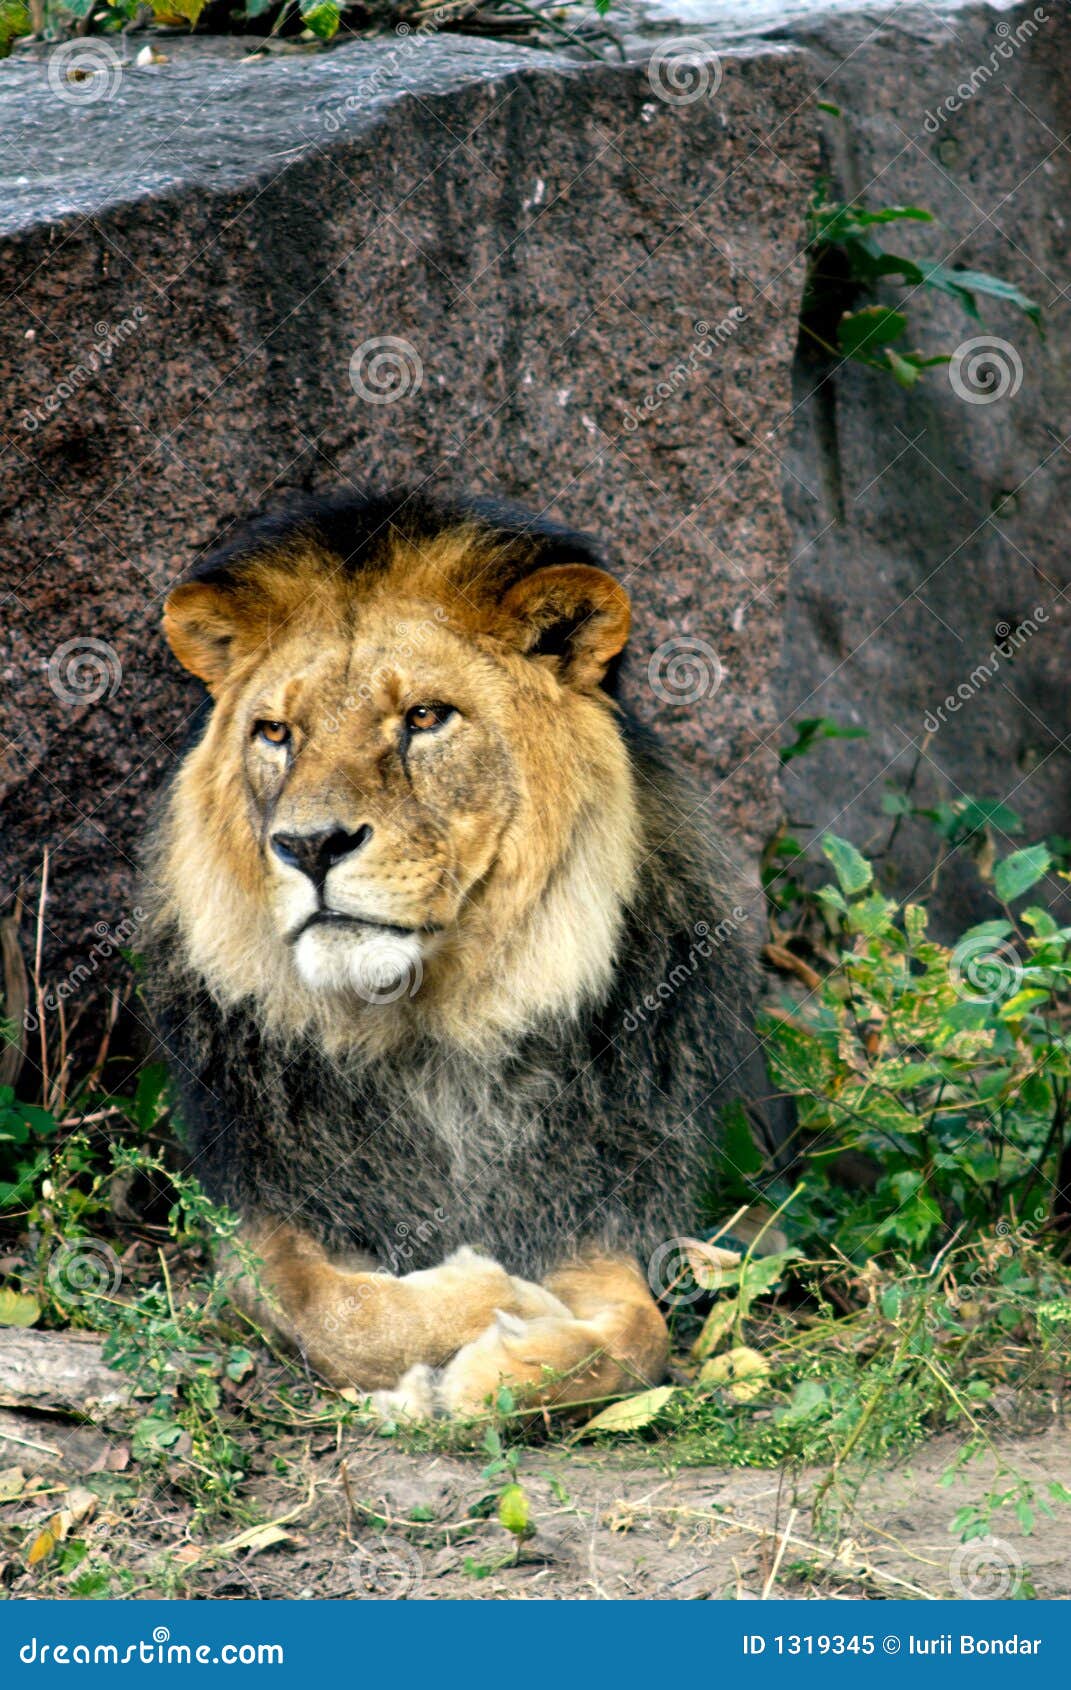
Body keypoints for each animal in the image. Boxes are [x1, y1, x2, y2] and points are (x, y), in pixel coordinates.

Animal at [142, 487, 776, 1420]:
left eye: (424, 718)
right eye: (275, 733)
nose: (309, 845)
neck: (429, 1033)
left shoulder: (579, 1203)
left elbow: (640, 1338)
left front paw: (504, 1370)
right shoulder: (258, 1212)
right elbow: (333, 1306)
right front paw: (491, 1302)